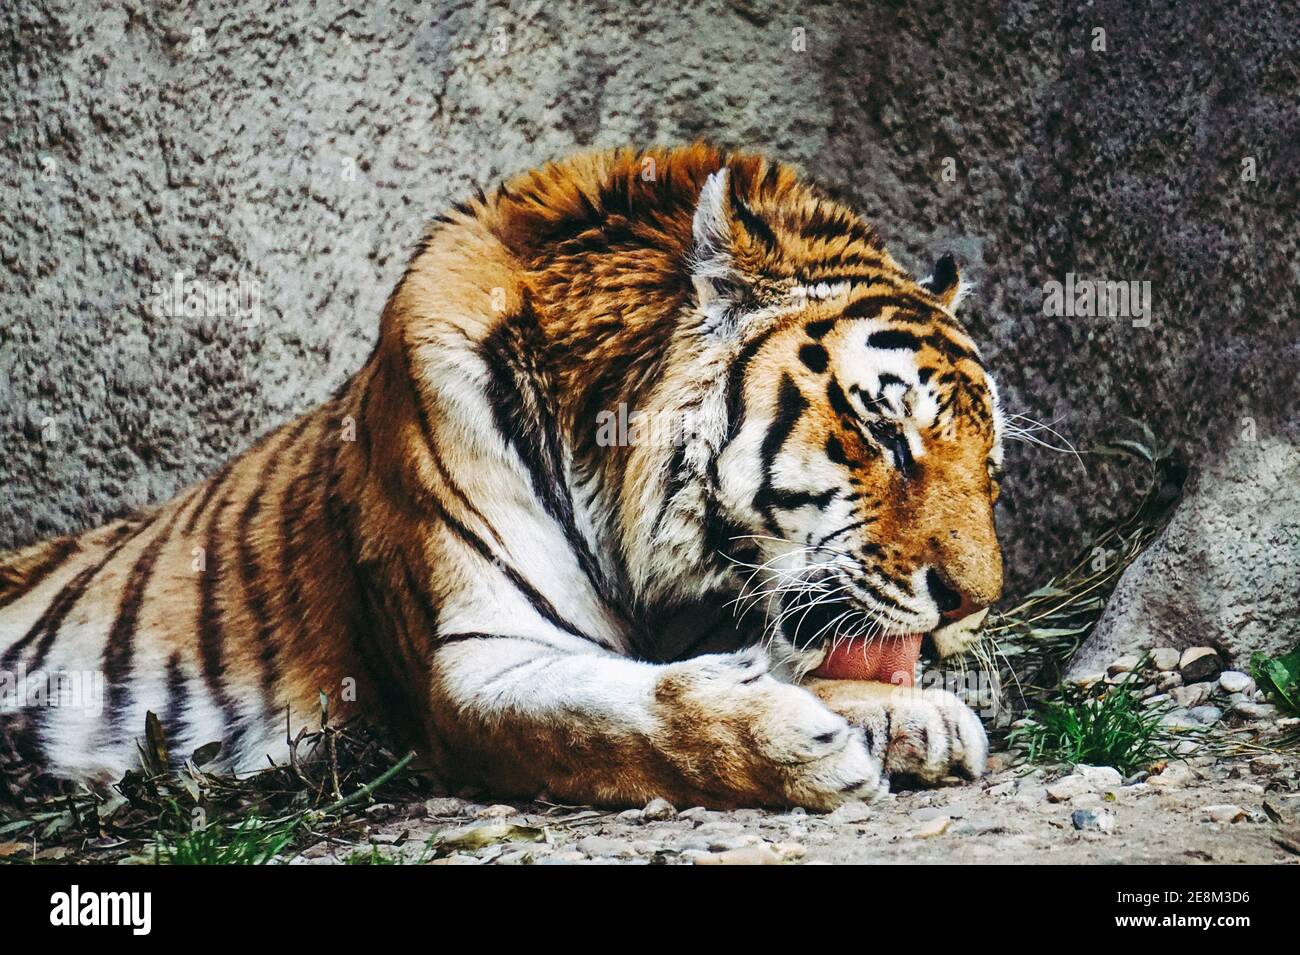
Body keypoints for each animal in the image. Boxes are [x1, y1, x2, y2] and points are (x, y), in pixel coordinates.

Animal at [0, 144, 1004, 810]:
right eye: (884, 433)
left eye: (989, 467)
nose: (974, 605)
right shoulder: (477, 663)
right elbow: (625, 715)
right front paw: (794, 742)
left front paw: (908, 714)